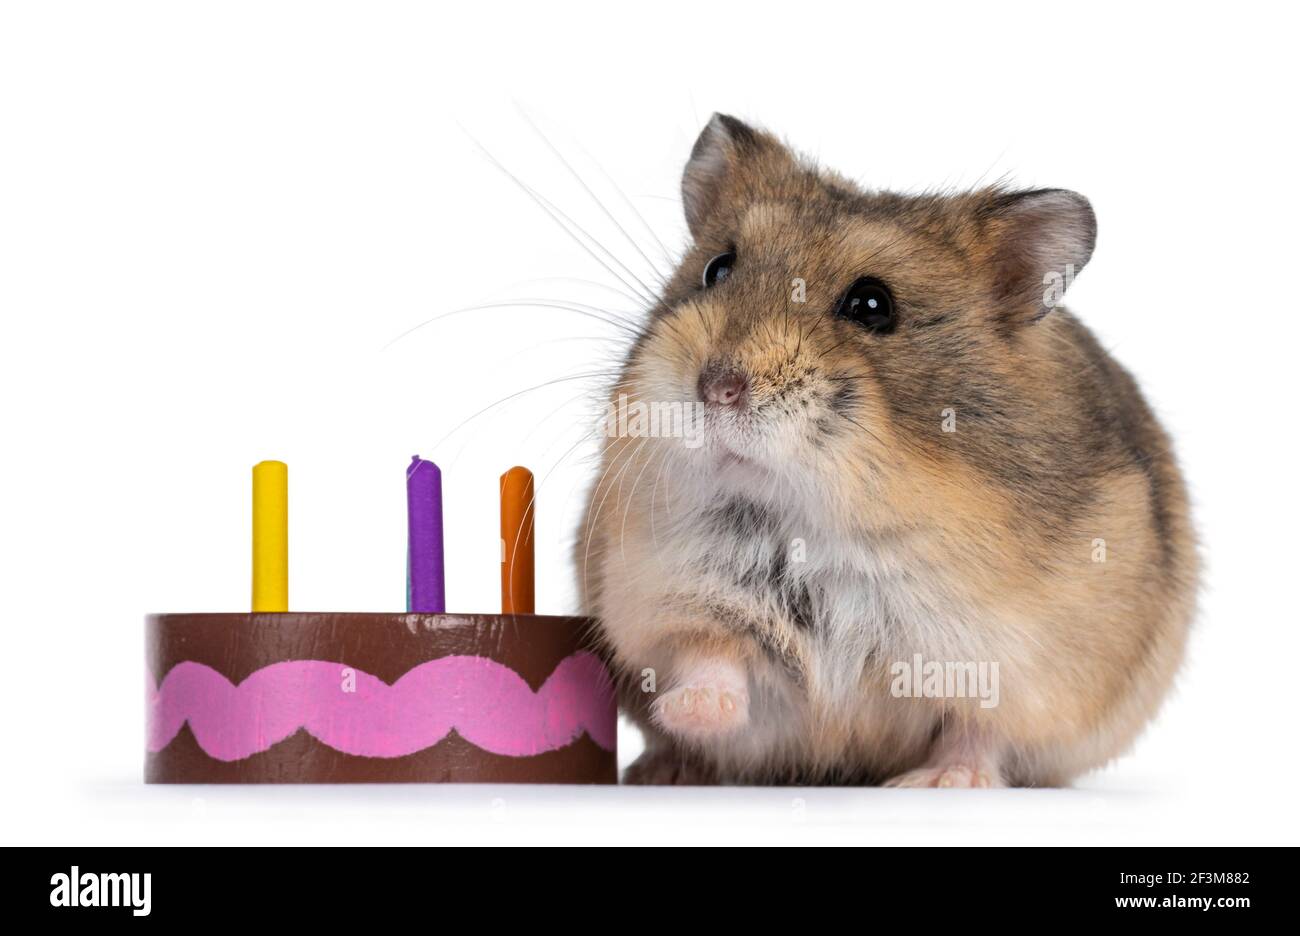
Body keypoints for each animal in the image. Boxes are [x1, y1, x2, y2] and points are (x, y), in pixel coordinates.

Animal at [577, 114, 1197, 786]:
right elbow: (710, 656)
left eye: (873, 305)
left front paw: (940, 782)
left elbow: (980, 730)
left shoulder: (1025, 670)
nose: (718, 388)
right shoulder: (673, 597)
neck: (820, 521)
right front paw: (685, 713)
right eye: (717, 267)